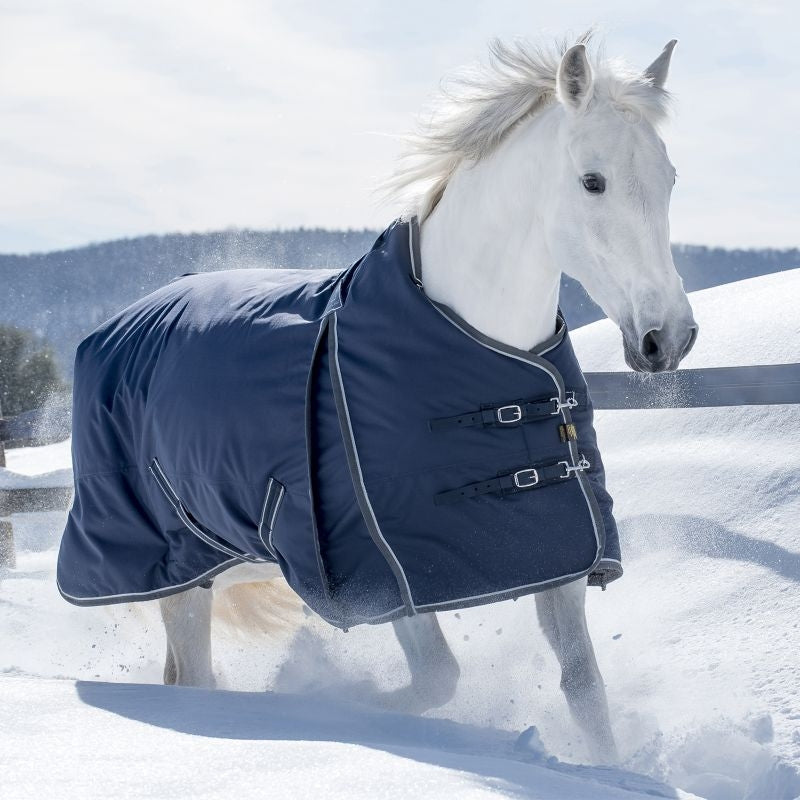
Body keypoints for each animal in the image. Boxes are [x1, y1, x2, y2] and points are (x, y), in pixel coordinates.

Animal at [103, 34, 700, 766]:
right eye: (593, 181)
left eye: (669, 178)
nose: (668, 337)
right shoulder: (388, 571)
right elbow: (438, 678)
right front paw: (319, 701)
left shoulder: (562, 552)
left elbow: (586, 691)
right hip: (179, 567)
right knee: (194, 672)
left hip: (229, 560)